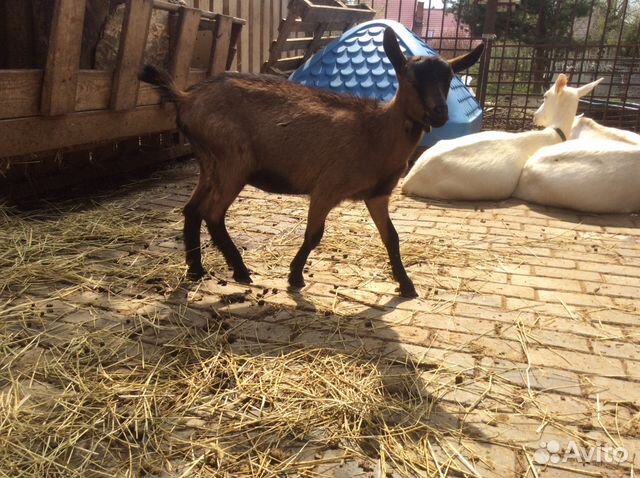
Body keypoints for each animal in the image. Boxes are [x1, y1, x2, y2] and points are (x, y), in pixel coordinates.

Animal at [139, 27, 484, 298]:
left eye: (448, 79)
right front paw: (294, 276)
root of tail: (186, 98)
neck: (376, 131)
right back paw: (240, 270)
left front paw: (407, 285)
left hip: (210, 164)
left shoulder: (377, 194)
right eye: (410, 79)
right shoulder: (326, 188)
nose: (440, 114)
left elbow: (392, 238)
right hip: (232, 163)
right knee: (212, 213)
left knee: (192, 210)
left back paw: (196, 269)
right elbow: (314, 235)